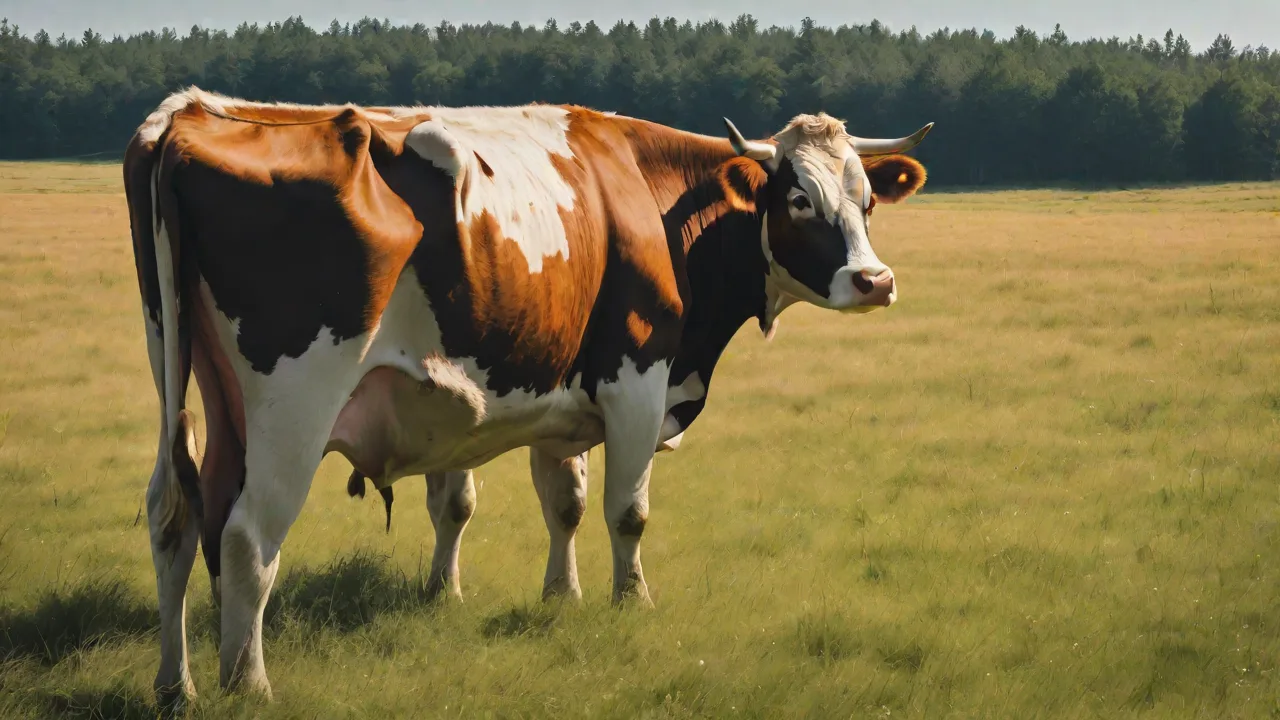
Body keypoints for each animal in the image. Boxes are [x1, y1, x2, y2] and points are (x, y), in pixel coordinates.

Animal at [123, 86, 932, 710]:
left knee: (176, 516)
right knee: (247, 537)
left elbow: (555, 502)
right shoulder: (637, 378)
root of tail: (187, 115)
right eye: (798, 200)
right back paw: (248, 684)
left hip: (187, 381)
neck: (646, 190)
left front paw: (554, 596)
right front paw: (631, 602)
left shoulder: (558, 397)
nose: (874, 281)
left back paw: (175, 685)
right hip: (292, 403)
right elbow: (627, 511)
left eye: (866, 199)